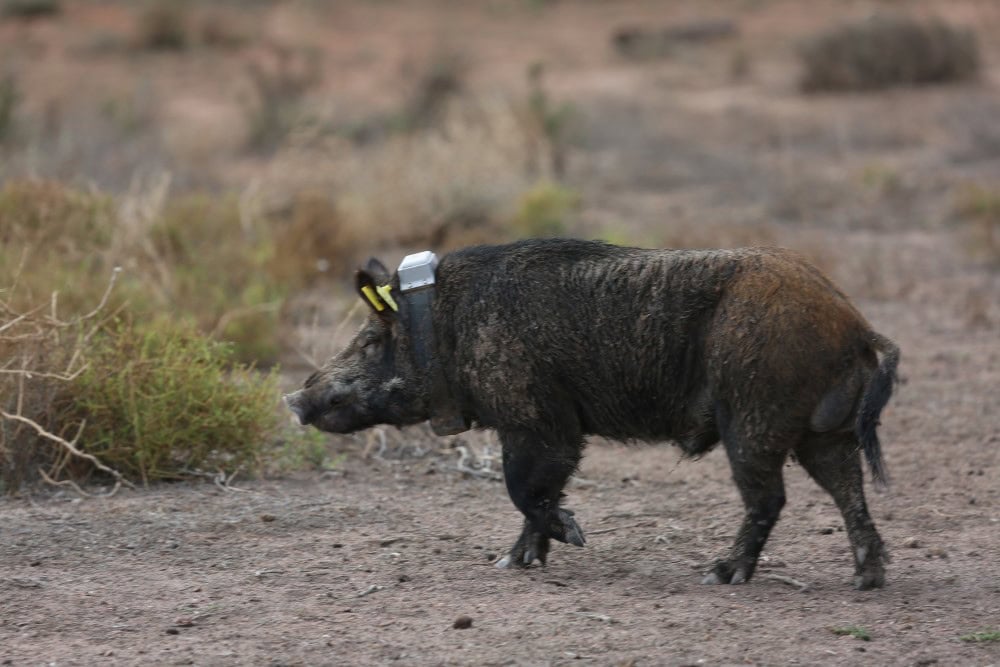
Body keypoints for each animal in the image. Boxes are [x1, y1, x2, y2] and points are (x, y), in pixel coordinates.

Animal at [285, 239, 899, 590]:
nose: (296, 399)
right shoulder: (547, 428)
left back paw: (720, 575)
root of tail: (855, 324)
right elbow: (539, 493)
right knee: (846, 485)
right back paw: (866, 578)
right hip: (823, 428)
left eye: (370, 341)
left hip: (752, 417)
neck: (445, 327)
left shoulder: (537, 419)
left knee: (771, 498)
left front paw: (564, 542)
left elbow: (525, 489)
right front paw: (515, 563)